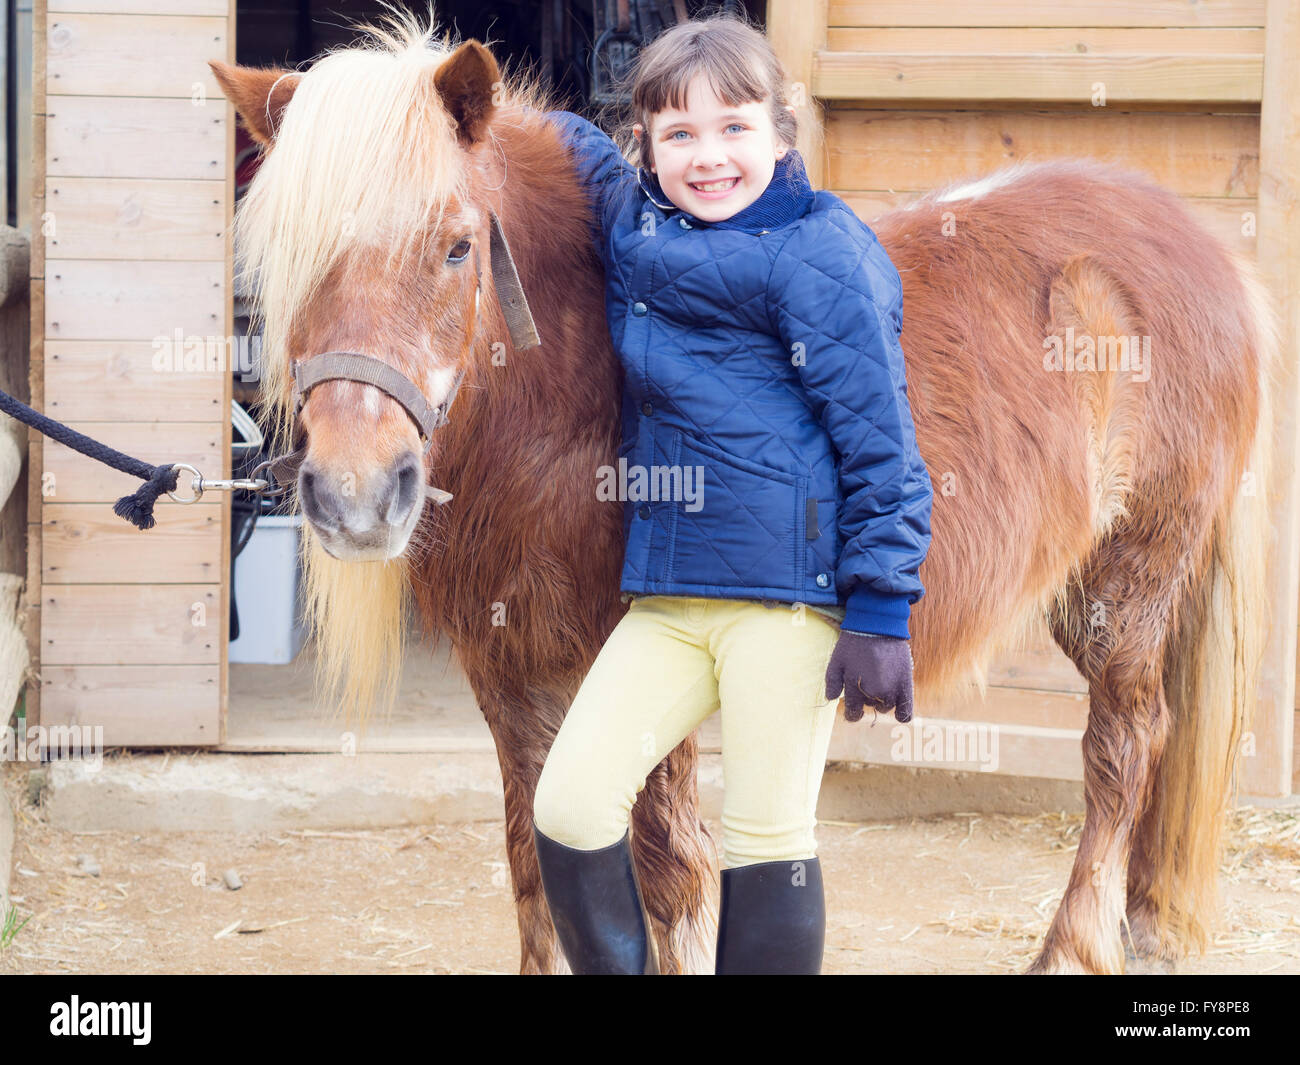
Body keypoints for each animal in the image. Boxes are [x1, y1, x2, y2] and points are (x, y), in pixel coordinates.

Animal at [209, 12, 1274, 975]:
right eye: (285, 263)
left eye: (458, 247)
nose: (355, 496)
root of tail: (1204, 248)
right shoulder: (511, 675)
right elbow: (531, 862)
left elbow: (669, 870)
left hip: (1130, 579)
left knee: (1124, 745)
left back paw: (1076, 949)